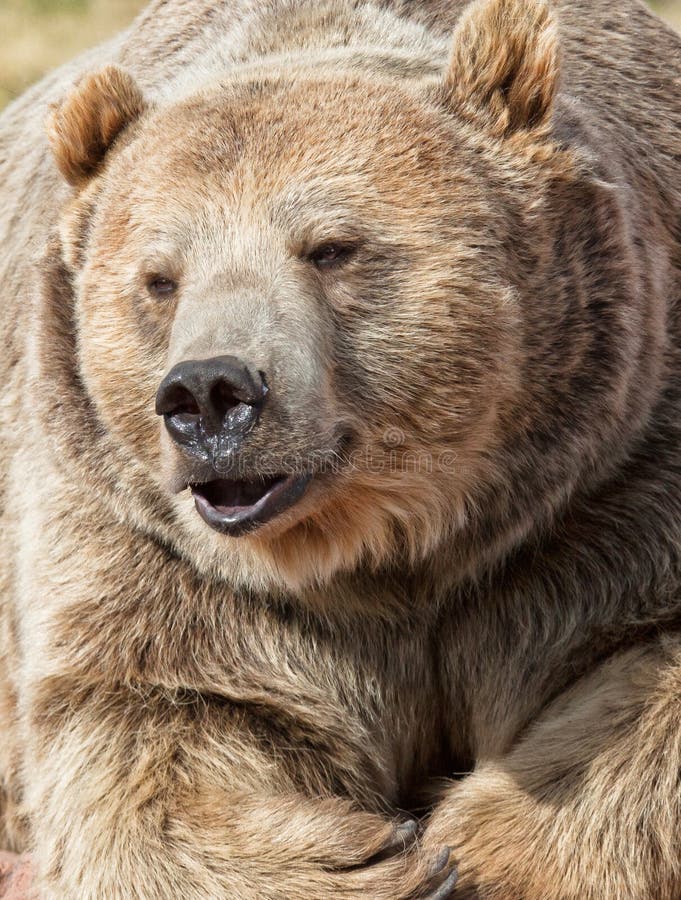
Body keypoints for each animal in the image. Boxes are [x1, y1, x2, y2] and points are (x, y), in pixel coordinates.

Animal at [1, 0, 681, 896]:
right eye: (159, 279)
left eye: (331, 247)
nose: (208, 394)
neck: (394, 543)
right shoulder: (153, 544)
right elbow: (160, 724)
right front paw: (377, 859)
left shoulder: (607, 480)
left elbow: (643, 675)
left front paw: (474, 850)